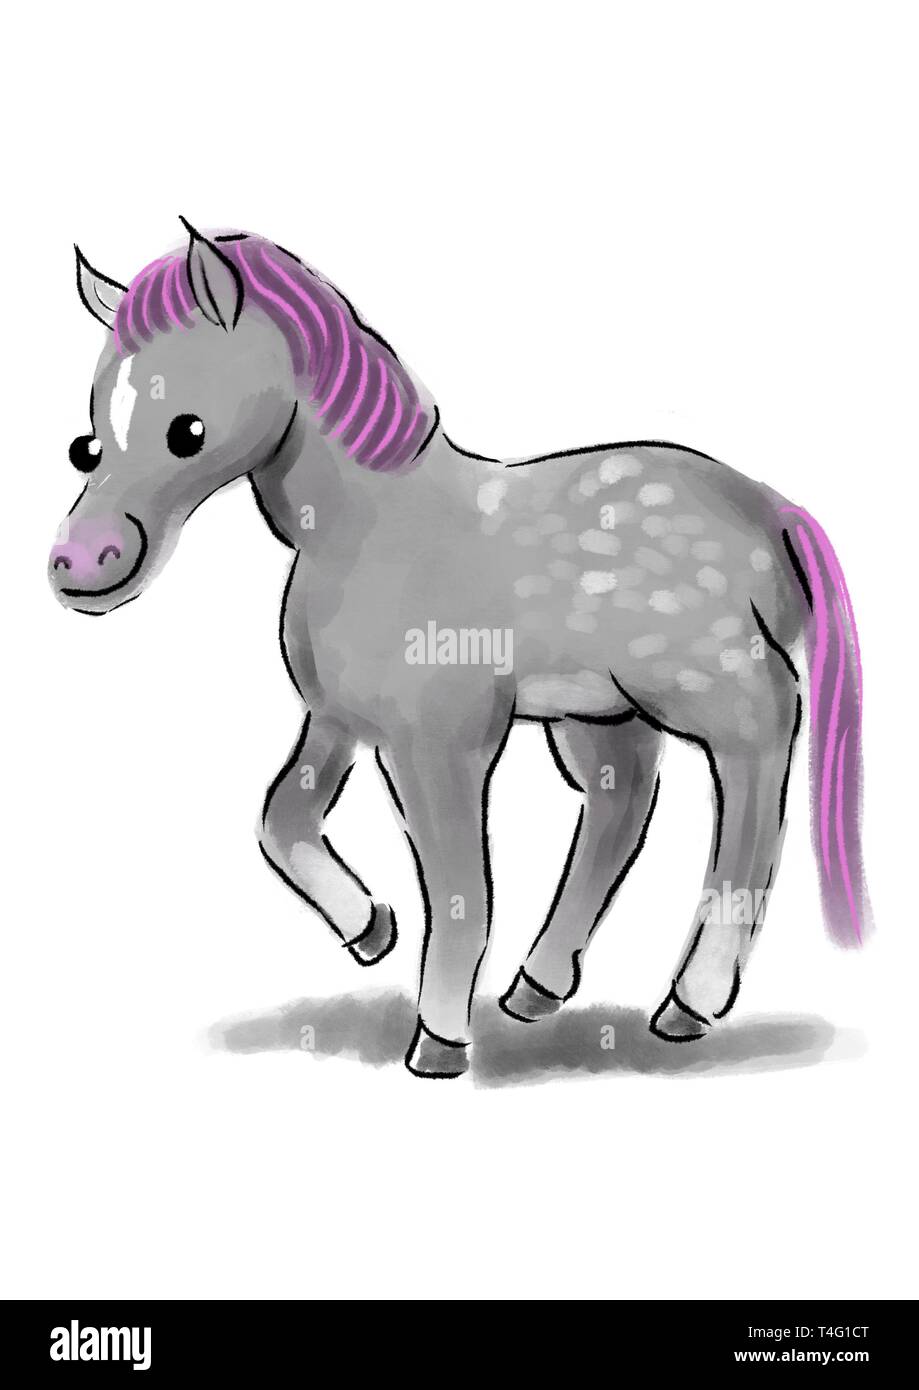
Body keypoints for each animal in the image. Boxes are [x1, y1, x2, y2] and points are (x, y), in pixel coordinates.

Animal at [49, 219, 870, 1078]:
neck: (368, 531)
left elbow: (457, 886)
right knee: (620, 807)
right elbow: (283, 820)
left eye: (188, 431)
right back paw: (537, 987)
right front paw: (370, 928)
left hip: (704, 681)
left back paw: (692, 999)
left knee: (758, 759)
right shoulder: (339, 720)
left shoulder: (439, 743)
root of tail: (769, 508)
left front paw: (438, 1037)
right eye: (86, 444)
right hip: (597, 713)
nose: (79, 564)